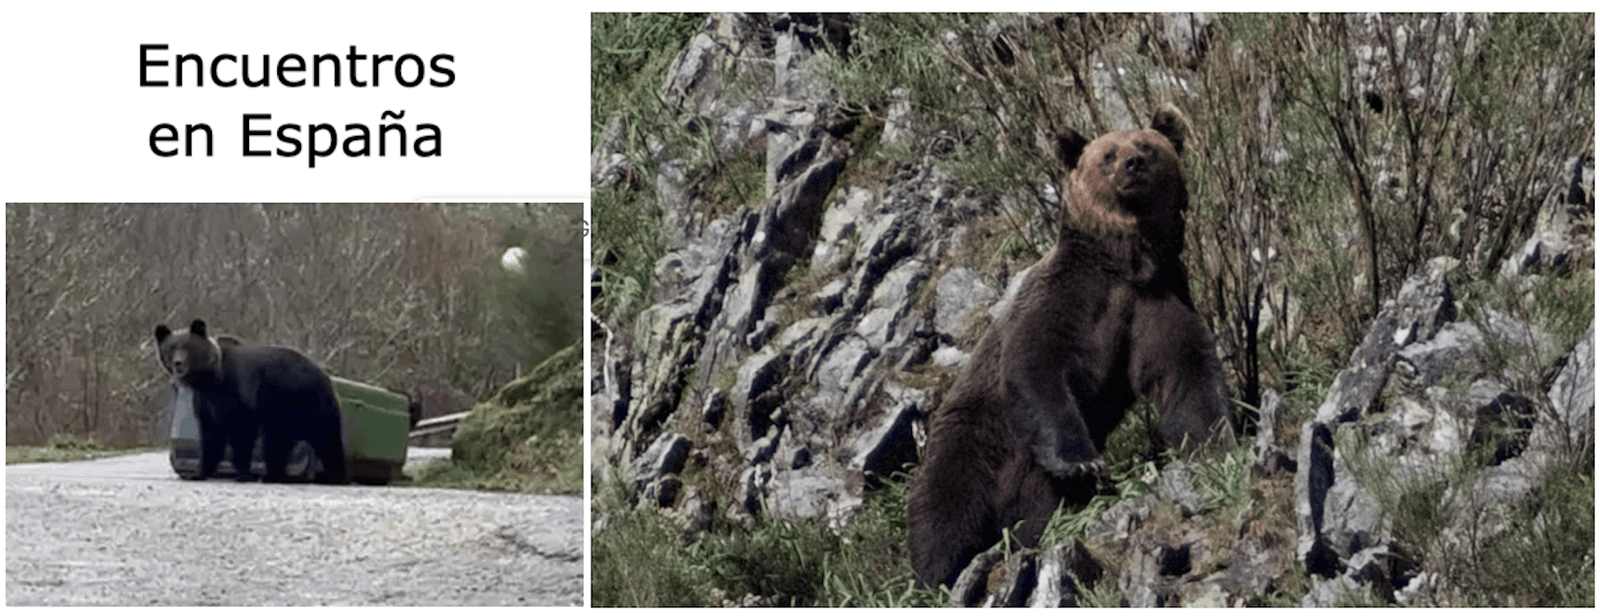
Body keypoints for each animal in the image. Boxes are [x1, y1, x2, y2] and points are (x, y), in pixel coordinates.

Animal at [154, 319, 348, 484]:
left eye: (188, 347)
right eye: (170, 348)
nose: (178, 363)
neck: (212, 378)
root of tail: (326, 376)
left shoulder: (239, 393)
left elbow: (242, 432)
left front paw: (243, 474)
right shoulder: (206, 401)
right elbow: (210, 434)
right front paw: (199, 472)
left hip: (303, 401)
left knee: (326, 438)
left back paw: (336, 476)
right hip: (282, 412)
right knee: (277, 442)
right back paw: (272, 476)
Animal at [907, 106, 1234, 589]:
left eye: (1148, 145)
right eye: (1107, 154)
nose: (1133, 164)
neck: (1123, 263)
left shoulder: (1155, 300)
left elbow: (1185, 367)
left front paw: (1215, 436)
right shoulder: (1065, 300)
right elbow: (1036, 368)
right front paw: (1080, 461)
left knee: (1033, 508)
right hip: (972, 440)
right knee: (947, 506)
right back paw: (941, 570)